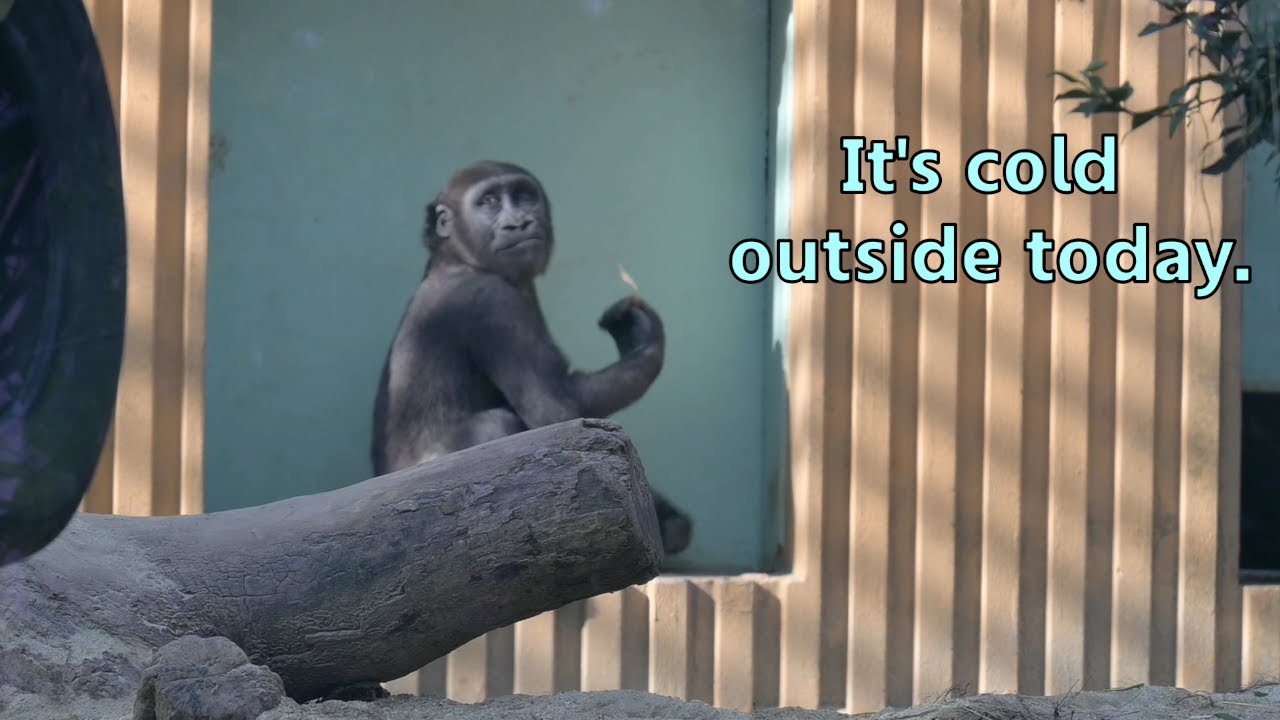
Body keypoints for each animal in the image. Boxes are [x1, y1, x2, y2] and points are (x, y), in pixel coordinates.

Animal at [371, 160, 692, 556]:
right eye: (489, 201)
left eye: (524, 195)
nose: (519, 223)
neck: (454, 258)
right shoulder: (492, 301)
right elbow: (555, 410)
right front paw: (643, 340)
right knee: (496, 424)